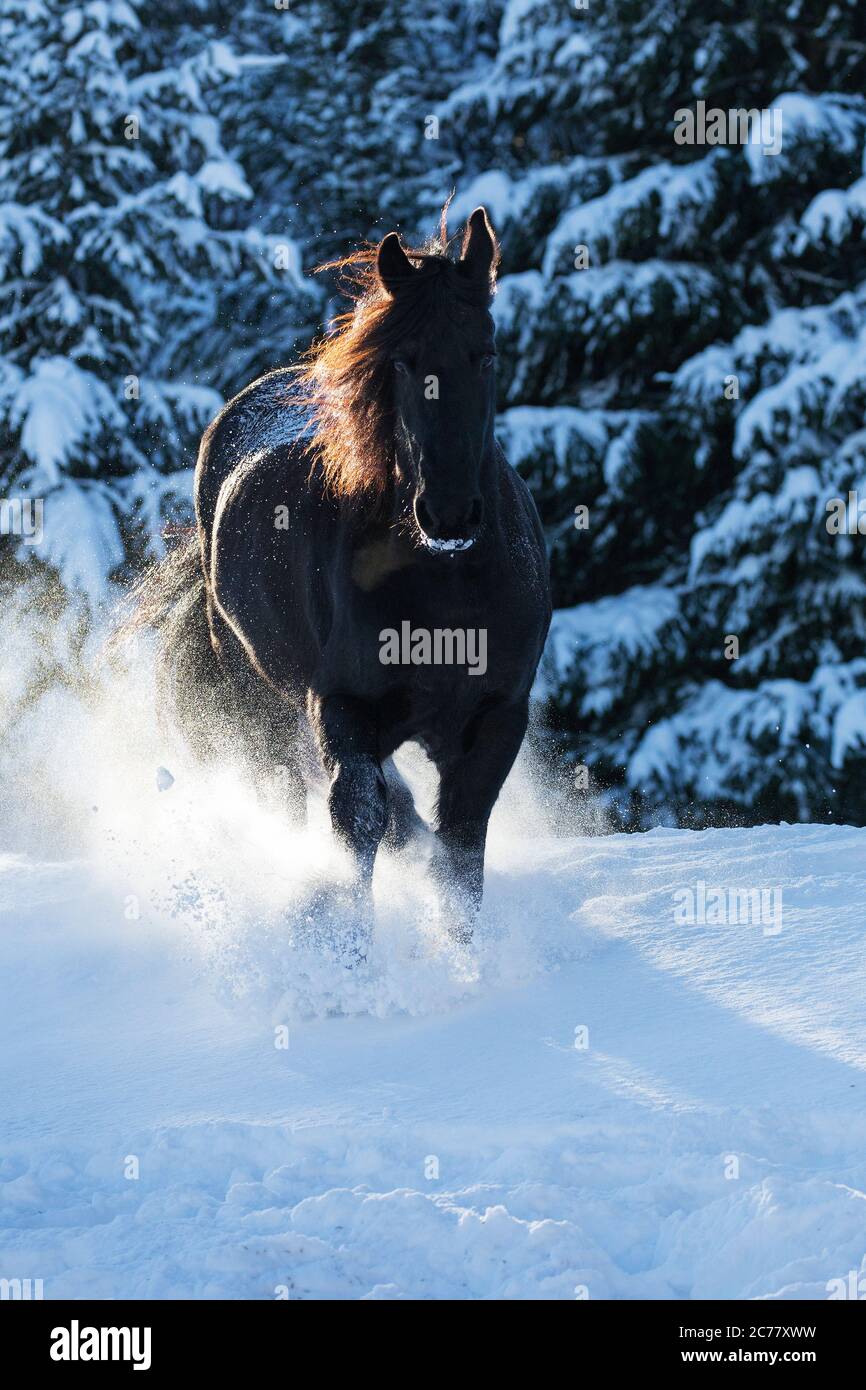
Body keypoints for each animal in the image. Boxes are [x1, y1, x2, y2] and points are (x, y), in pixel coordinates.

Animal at [144, 206, 551, 946]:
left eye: (486, 353)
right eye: (402, 360)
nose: (449, 511)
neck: (446, 585)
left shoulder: (495, 718)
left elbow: (460, 852)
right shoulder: (340, 707)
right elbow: (361, 817)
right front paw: (347, 956)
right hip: (266, 712)